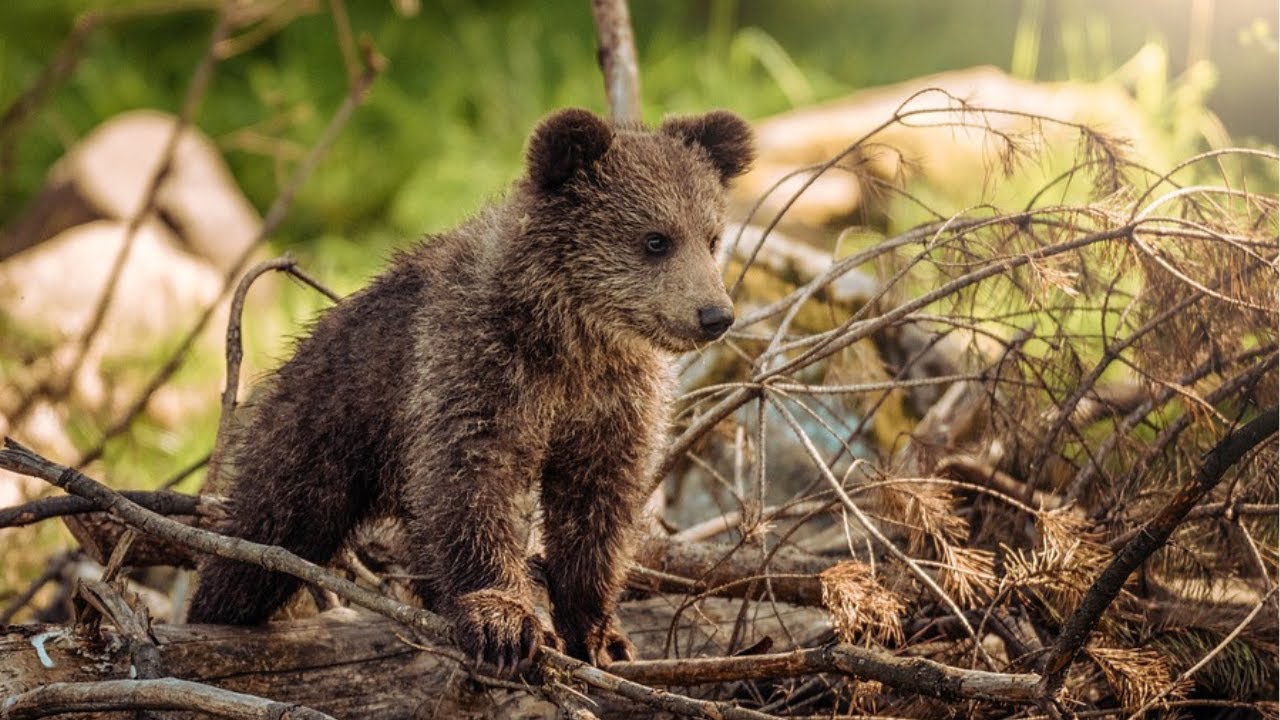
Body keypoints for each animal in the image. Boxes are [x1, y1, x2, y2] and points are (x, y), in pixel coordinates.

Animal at [186, 107, 754, 670]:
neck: (572, 338)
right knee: (265, 534)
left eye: (711, 237)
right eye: (655, 239)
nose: (714, 315)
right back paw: (215, 612)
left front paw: (599, 634)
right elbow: (472, 482)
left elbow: (597, 506)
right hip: (322, 429)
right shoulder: (477, 366)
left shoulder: (612, 402)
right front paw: (503, 621)